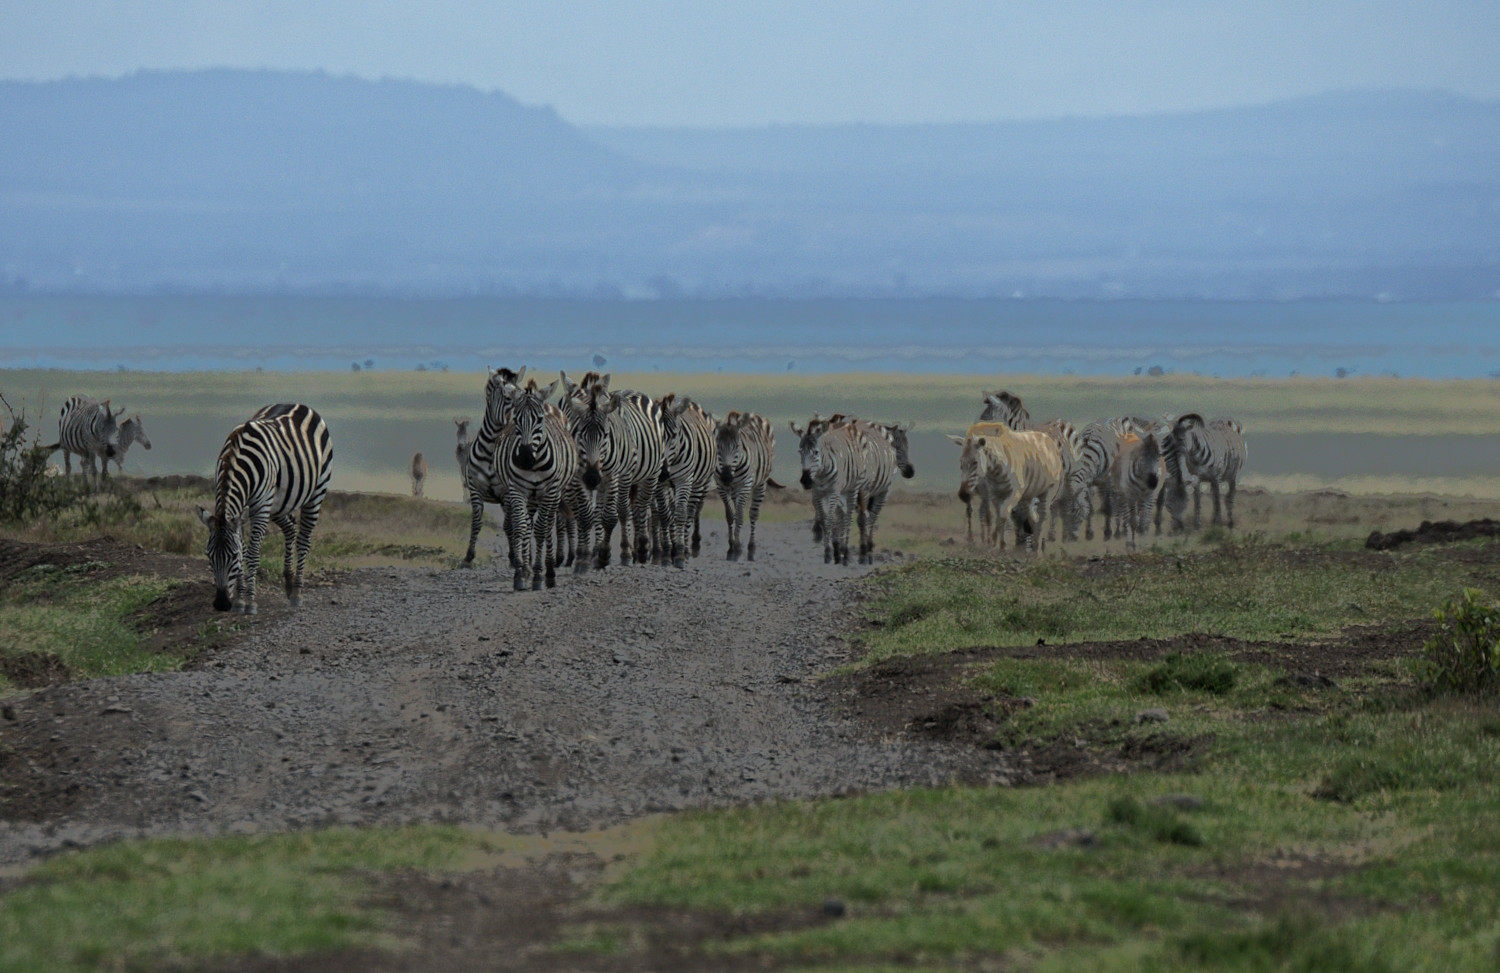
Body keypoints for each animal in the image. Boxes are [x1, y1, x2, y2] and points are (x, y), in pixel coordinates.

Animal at [195, 403, 333, 614]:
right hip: (277, 504)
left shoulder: (260, 507)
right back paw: (288, 582)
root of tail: (299, 405)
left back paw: (296, 593)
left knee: (303, 540)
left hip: (315, 492)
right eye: (208, 555)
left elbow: (251, 554)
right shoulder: (243, 512)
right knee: (290, 528)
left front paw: (250, 602)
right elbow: (244, 549)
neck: (236, 458)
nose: (221, 604)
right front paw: (239, 600)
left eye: (233, 556)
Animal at [497, 377, 590, 591]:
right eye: (516, 419)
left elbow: (540, 531)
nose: (524, 458)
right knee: (529, 523)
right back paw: (529, 568)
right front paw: (520, 573)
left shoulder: (550, 491)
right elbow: (521, 527)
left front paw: (539, 576)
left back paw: (549, 573)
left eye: (539, 420)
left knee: (546, 527)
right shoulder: (517, 490)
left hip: (554, 495)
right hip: (531, 496)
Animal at [656, 393, 716, 569]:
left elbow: (681, 514)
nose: (663, 473)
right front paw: (666, 554)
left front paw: (679, 555)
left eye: (674, 435)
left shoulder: (684, 480)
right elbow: (664, 515)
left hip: (700, 483)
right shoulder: (659, 485)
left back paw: (687, 551)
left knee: (690, 512)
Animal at [714, 410, 777, 561]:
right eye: (718, 446)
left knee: (753, 513)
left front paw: (738, 549)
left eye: (737, 446)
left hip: (761, 483)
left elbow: (740, 515)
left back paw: (751, 549)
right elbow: (730, 515)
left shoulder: (745, 486)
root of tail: (755, 415)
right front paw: (731, 549)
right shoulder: (721, 486)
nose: (726, 477)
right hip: (734, 490)